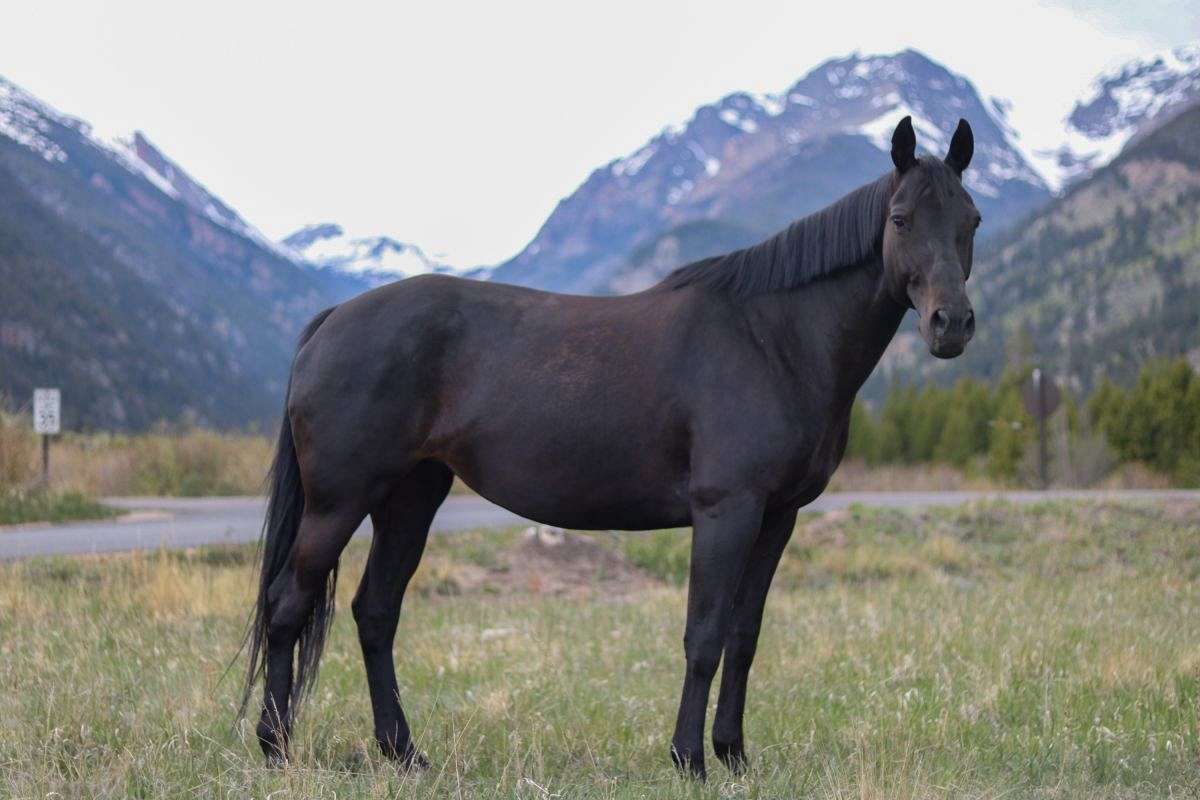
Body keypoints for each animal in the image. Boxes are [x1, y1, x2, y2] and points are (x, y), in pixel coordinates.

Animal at [240, 115, 980, 780]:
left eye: (970, 221)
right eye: (901, 219)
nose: (951, 325)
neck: (773, 339)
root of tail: (332, 321)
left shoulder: (778, 517)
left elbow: (743, 638)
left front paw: (734, 756)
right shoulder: (726, 511)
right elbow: (704, 635)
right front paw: (689, 761)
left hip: (409, 499)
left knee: (374, 614)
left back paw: (404, 754)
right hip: (339, 503)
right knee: (287, 606)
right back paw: (276, 750)